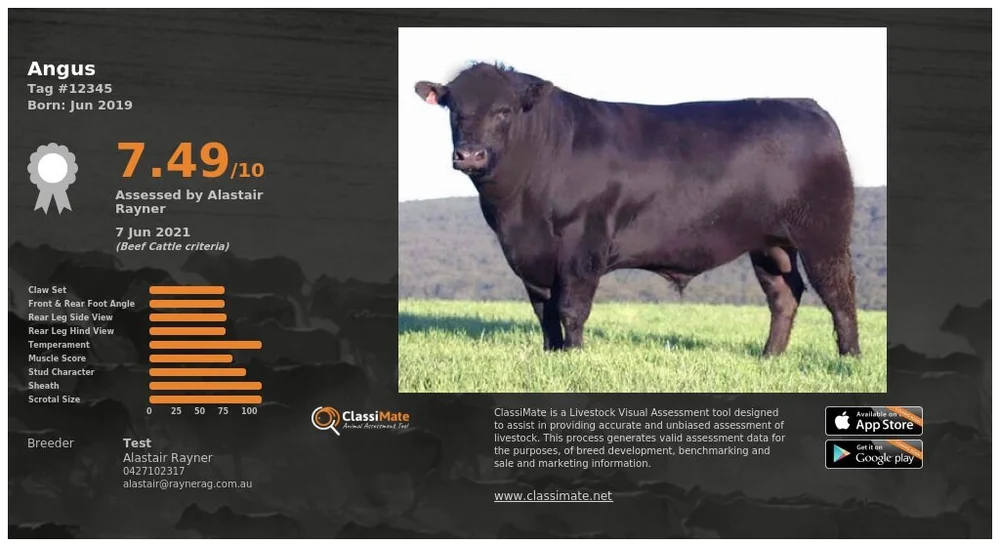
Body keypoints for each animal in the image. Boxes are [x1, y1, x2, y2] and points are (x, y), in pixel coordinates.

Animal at [414, 62, 860, 356]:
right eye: (454, 110)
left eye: (503, 111)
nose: (469, 154)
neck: (518, 209)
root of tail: (807, 105)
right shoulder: (528, 253)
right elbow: (543, 309)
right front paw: (552, 353)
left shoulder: (583, 242)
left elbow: (571, 306)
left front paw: (574, 356)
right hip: (769, 243)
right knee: (784, 294)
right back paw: (770, 356)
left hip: (823, 233)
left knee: (838, 291)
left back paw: (848, 358)